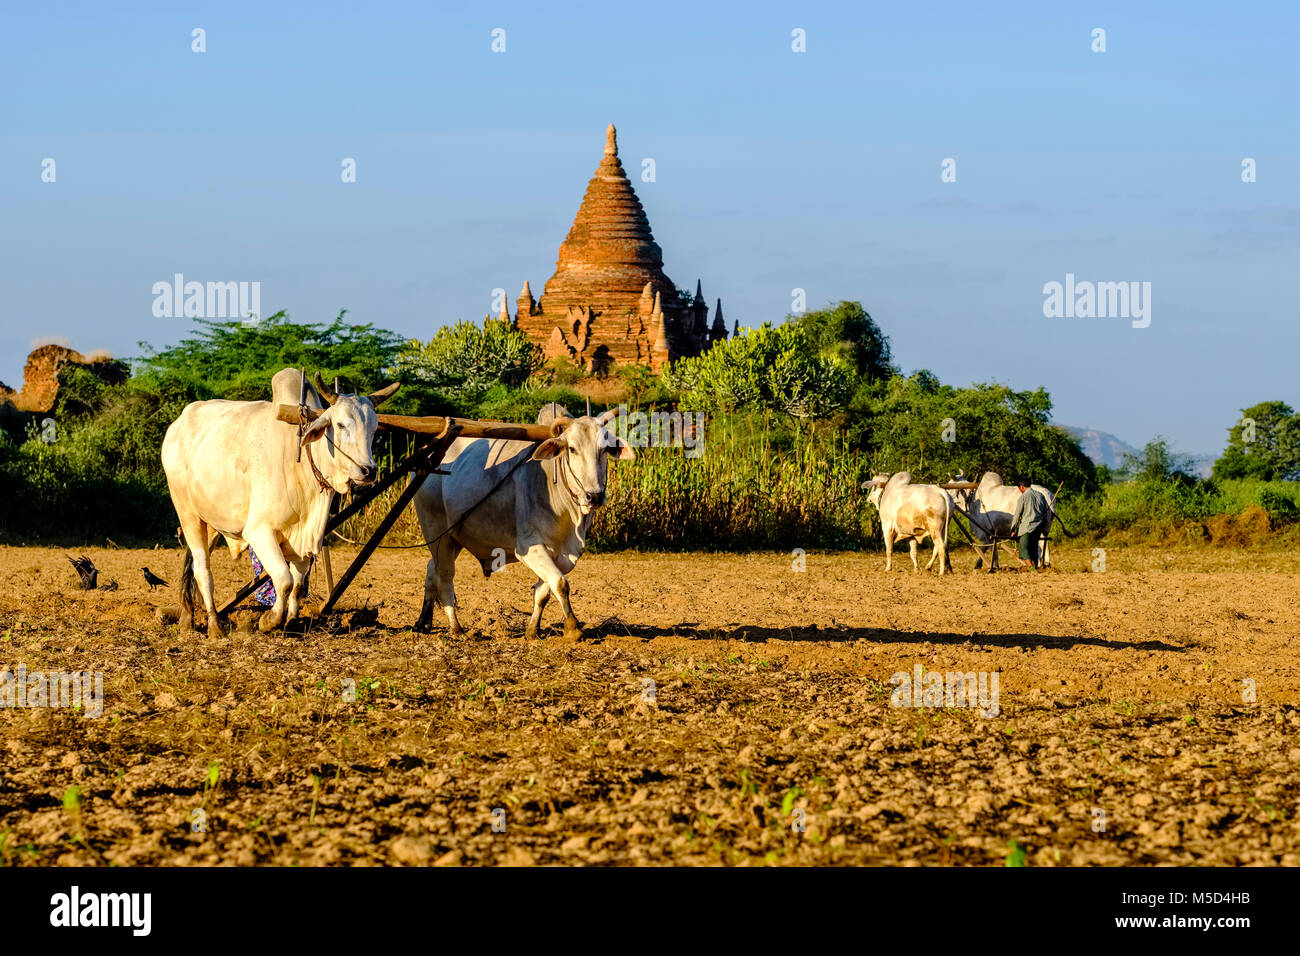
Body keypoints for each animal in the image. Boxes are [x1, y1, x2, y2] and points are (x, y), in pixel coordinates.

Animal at [161, 368, 398, 637]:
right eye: (340, 424)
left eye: (374, 430)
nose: (368, 471)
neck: (302, 464)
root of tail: (176, 426)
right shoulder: (259, 531)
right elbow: (284, 581)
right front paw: (270, 620)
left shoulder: (304, 541)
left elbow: (297, 585)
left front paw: (291, 621)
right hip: (187, 513)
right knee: (202, 570)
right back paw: (214, 625)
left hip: (210, 520)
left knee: (194, 566)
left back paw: (188, 618)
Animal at [412, 404, 634, 640]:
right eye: (572, 449)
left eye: (604, 450)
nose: (594, 496)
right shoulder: (530, 548)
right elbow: (560, 584)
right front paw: (572, 627)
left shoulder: (563, 554)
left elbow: (544, 592)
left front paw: (532, 630)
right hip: (438, 534)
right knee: (445, 579)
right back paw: (456, 628)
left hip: (454, 538)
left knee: (432, 570)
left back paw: (423, 621)